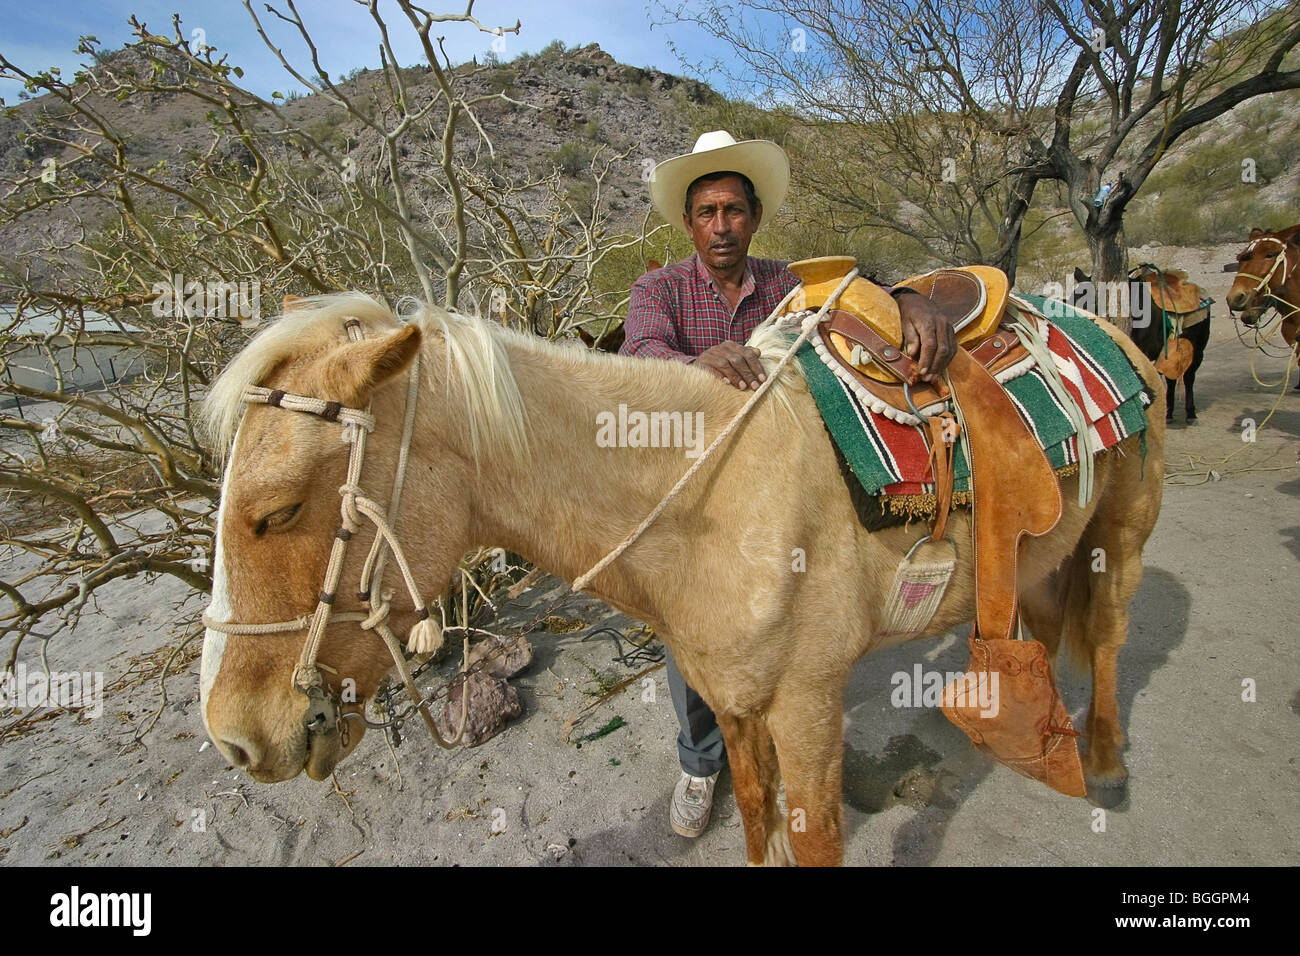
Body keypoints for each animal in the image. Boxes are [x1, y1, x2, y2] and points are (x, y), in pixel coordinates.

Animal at [197, 291, 1164, 868]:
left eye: (277, 511)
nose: (234, 738)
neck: (711, 494)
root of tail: (1114, 326)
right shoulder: (733, 701)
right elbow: (756, 817)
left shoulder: (809, 707)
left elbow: (812, 838)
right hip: (1040, 557)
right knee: (1045, 627)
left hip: (1121, 538)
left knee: (1111, 637)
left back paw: (1108, 763)